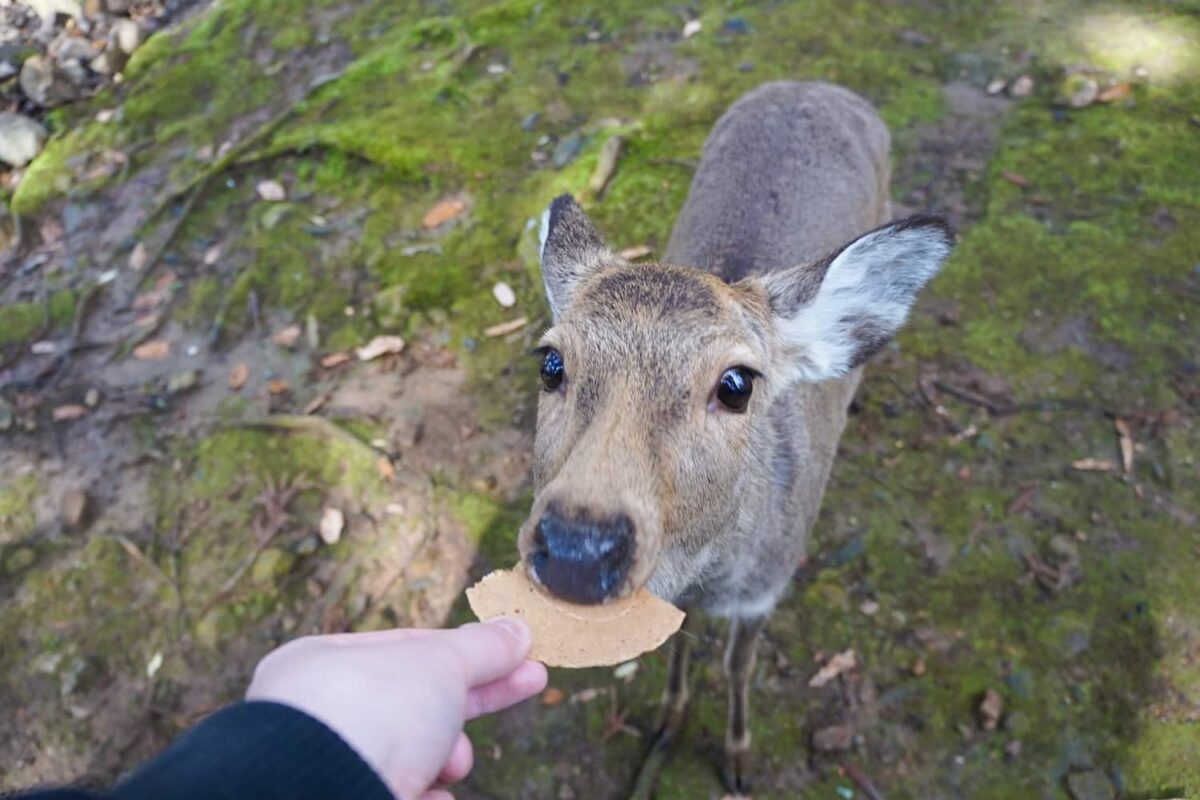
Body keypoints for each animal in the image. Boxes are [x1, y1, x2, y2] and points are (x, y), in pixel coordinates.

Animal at [519, 81, 954, 796]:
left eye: (736, 384)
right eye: (550, 363)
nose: (579, 549)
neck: (713, 577)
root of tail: (816, 85)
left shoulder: (768, 586)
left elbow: (737, 666)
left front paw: (738, 756)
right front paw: (668, 722)